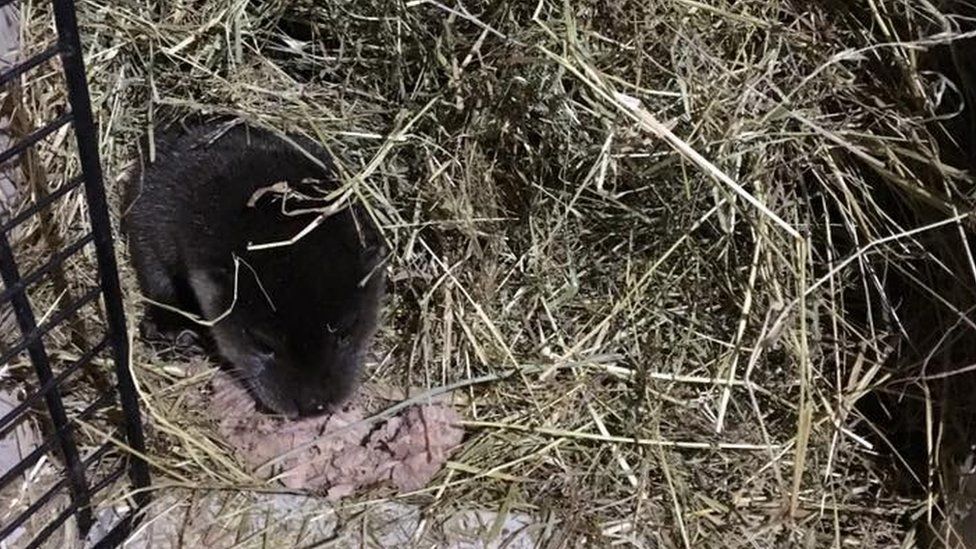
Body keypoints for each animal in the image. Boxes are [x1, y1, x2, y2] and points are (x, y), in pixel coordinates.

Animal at [122, 121, 385, 418]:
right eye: (263, 343)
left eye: (345, 332)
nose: (313, 405)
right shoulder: (153, 205)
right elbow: (152, 263)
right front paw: (170, 328)